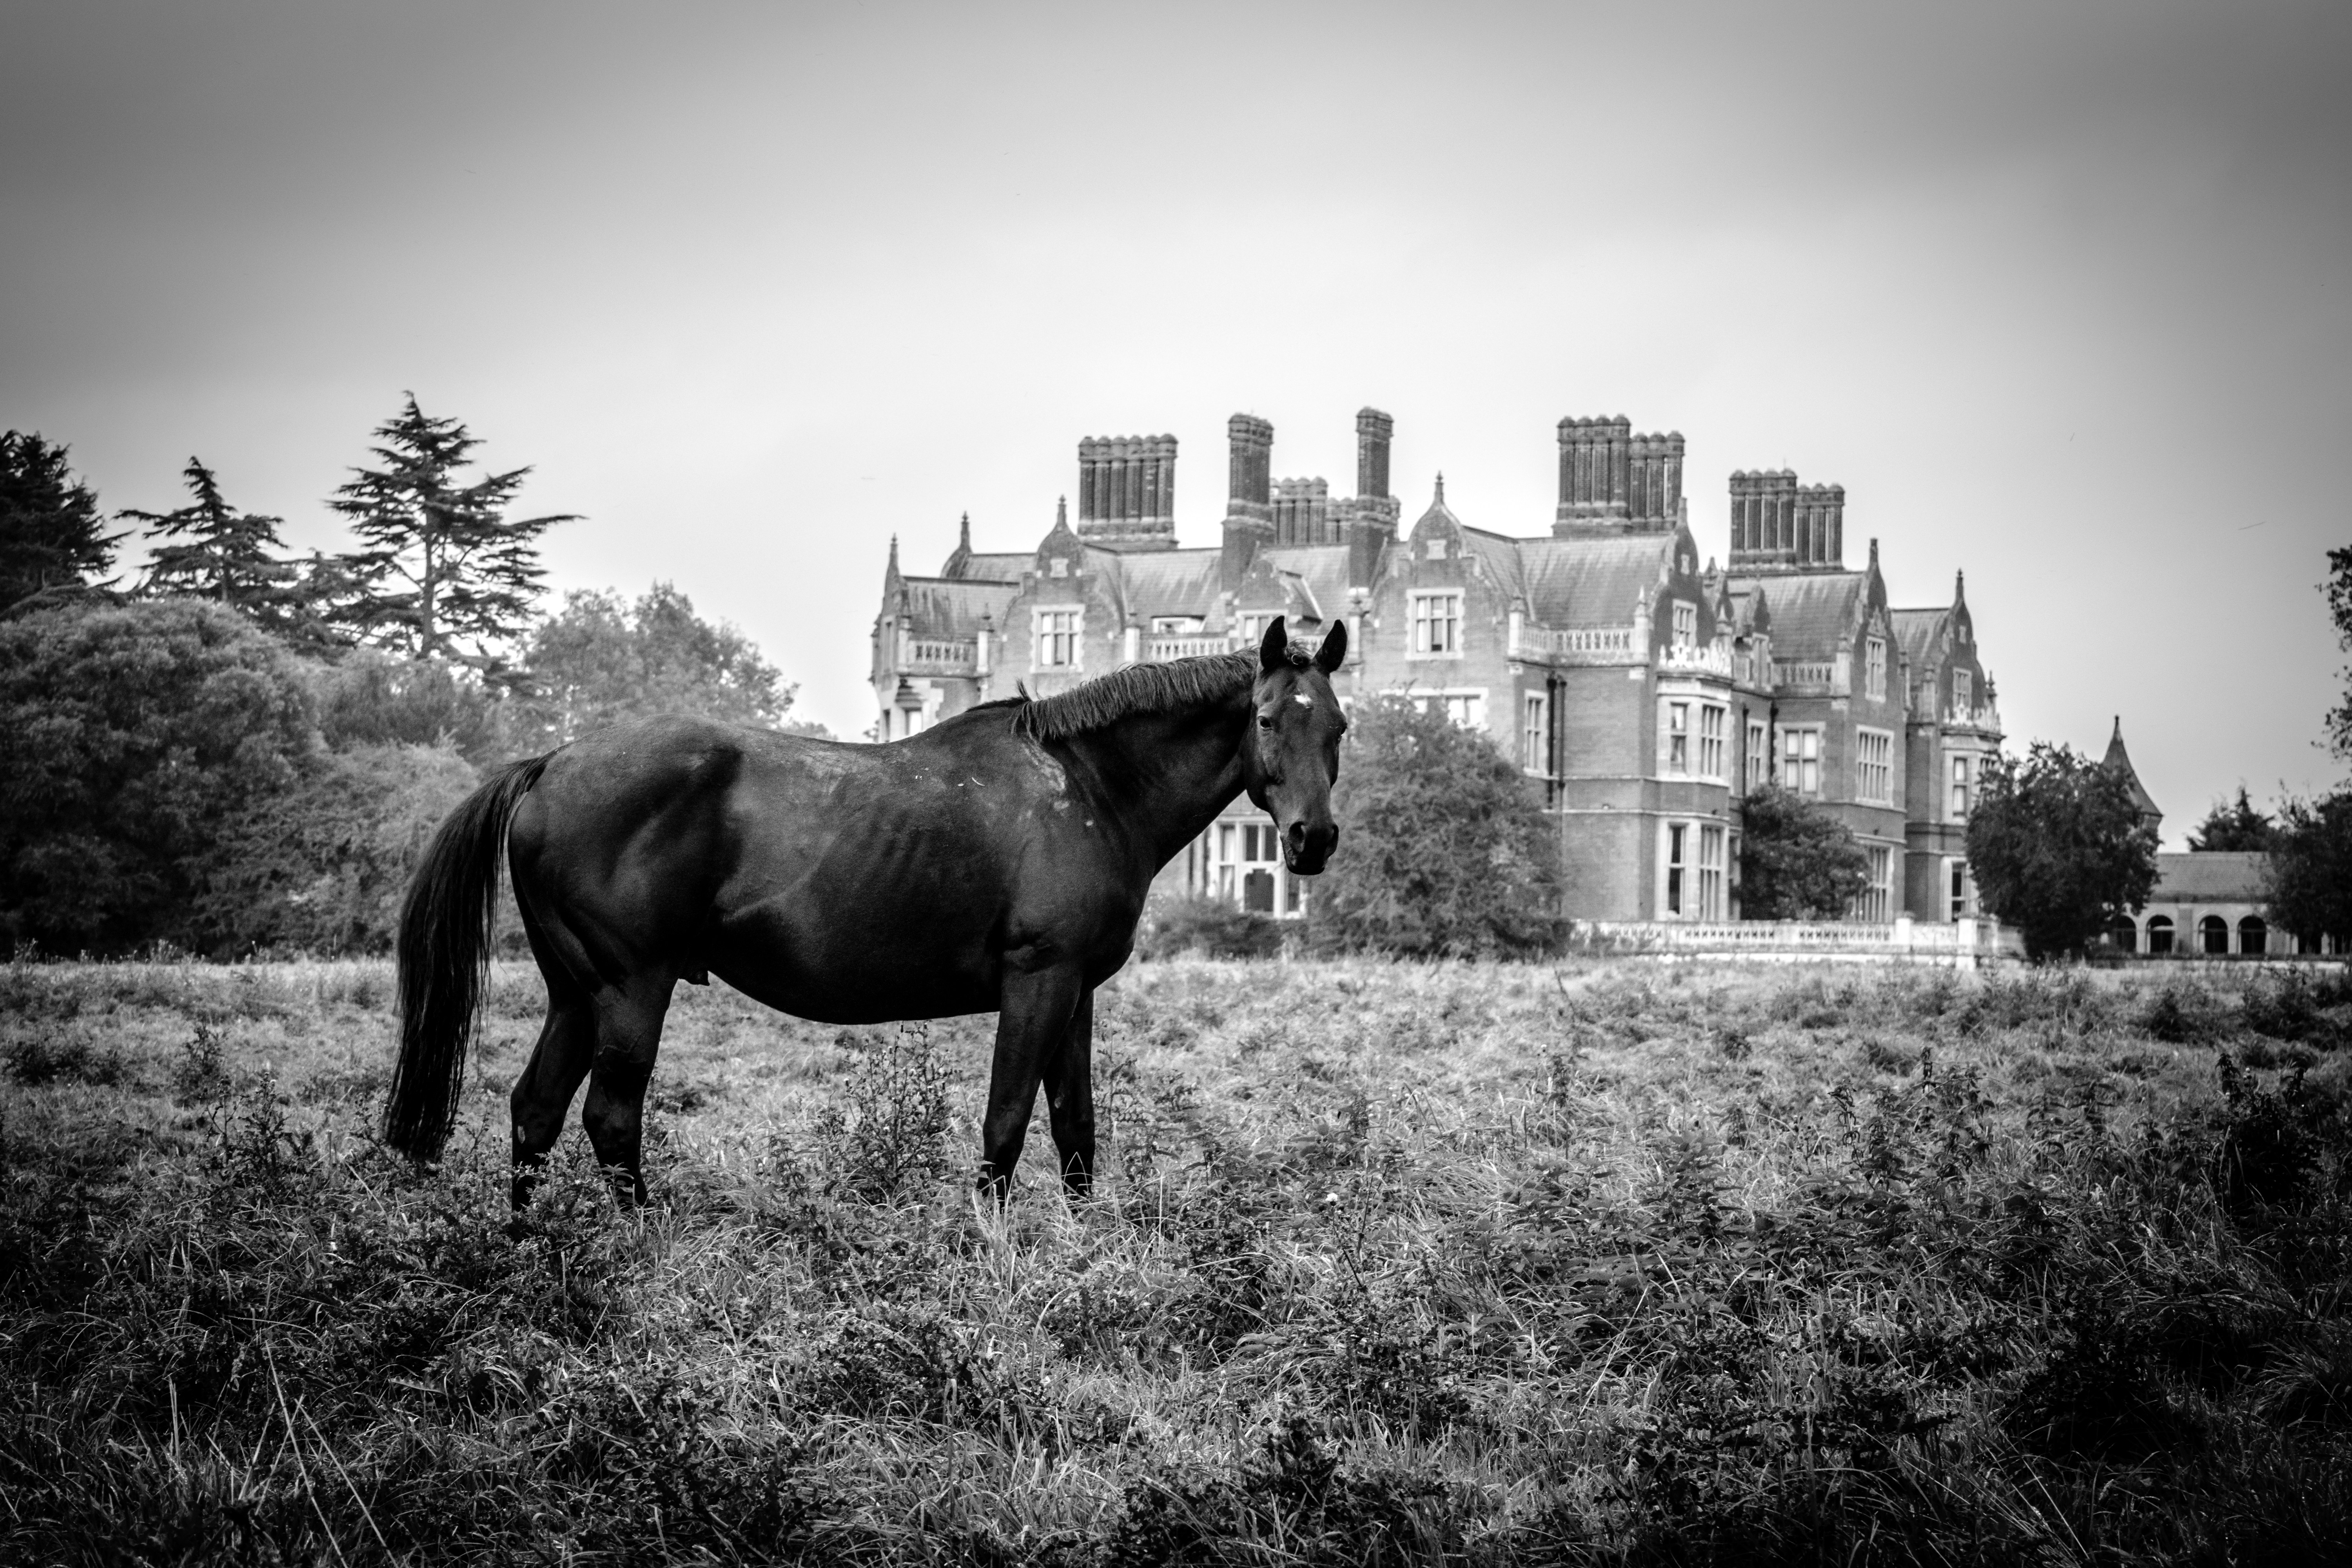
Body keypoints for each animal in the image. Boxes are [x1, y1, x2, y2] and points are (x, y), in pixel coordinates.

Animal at [382, 615, 1349, 1206]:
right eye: (1268, 719)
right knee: (609, 1120)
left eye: (1338, 726)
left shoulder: (1077, 992)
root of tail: (550, 764)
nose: (1312, 841)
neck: (1086, 787)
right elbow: (1005, 1126)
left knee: (535, 1112)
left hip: (576, 995)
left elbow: (1075, 1131)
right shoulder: (1038, 983)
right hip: (629, 990)